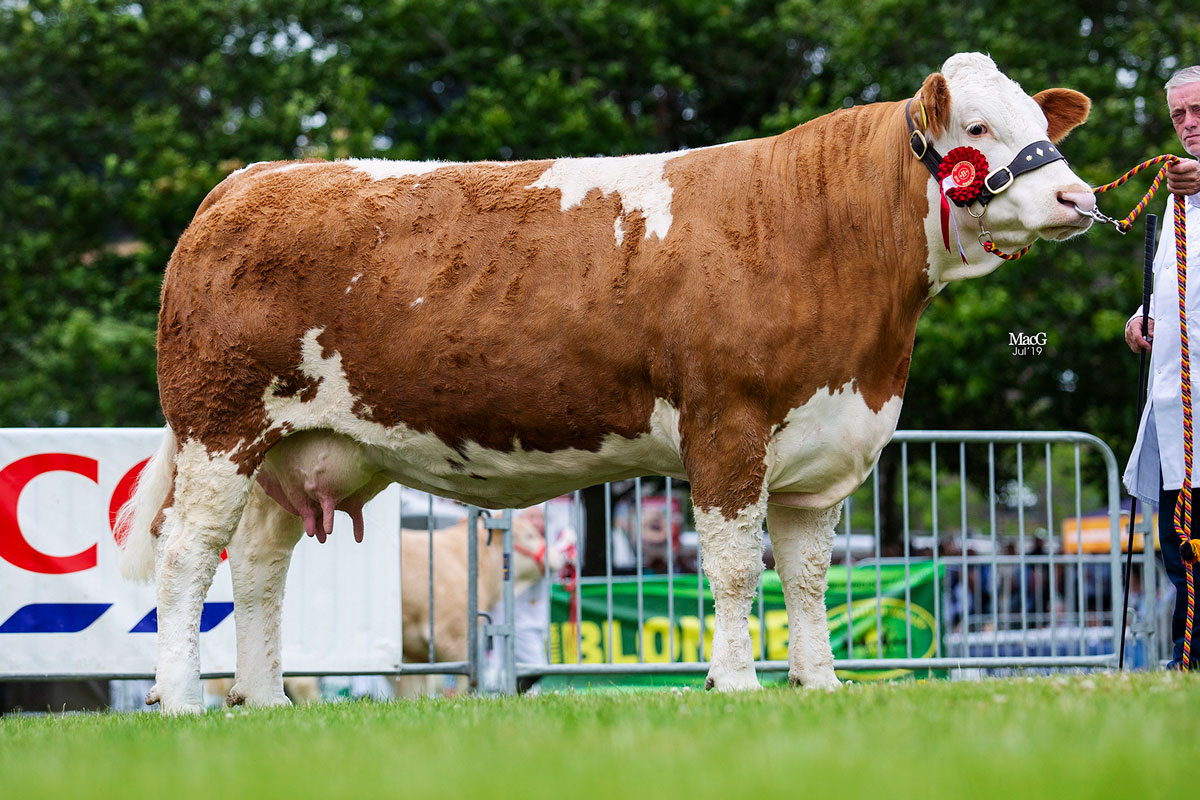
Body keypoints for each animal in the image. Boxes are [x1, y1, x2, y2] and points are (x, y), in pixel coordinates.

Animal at [118, 53, 1094, 712]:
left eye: (1043, 127)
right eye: (977, 130)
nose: (1078, 199)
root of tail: (249, 180)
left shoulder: (826, 449)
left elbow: (808, 578)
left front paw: (818, 681)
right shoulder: (727, 425)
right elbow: (735, 569)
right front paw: (734, 681)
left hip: (296, 447)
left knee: (257, 568)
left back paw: (264, 699)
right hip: (219, 429)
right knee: (184, 560)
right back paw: (183, 699)